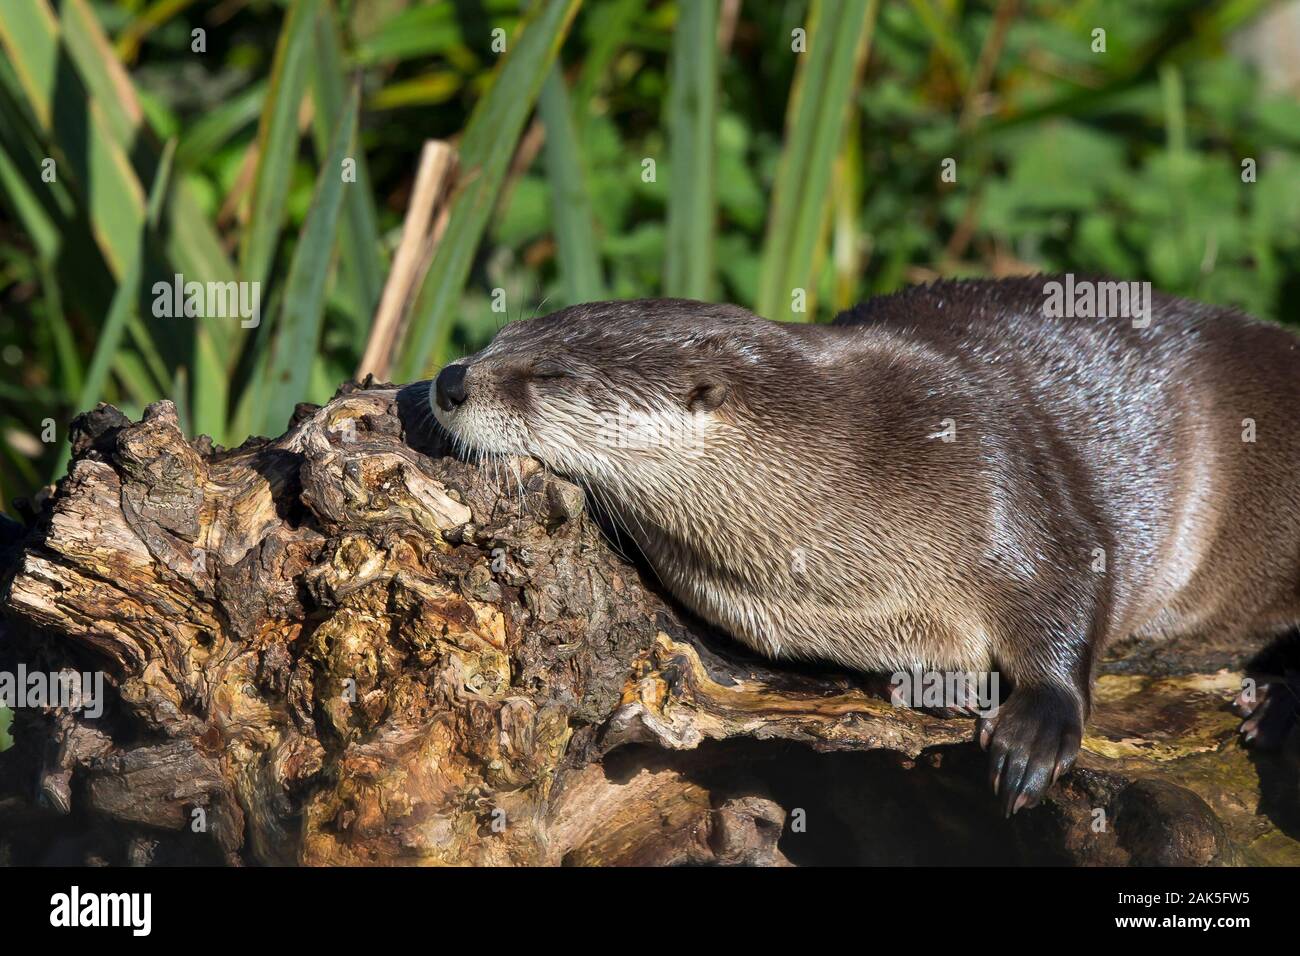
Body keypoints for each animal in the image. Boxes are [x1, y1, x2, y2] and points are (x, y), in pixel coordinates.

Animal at [429, 277, 1300, 815]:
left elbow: (1074, 590)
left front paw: (1034, 733)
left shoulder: (1004, 473)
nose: (448, 380)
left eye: (551, 374)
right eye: (498, 336)